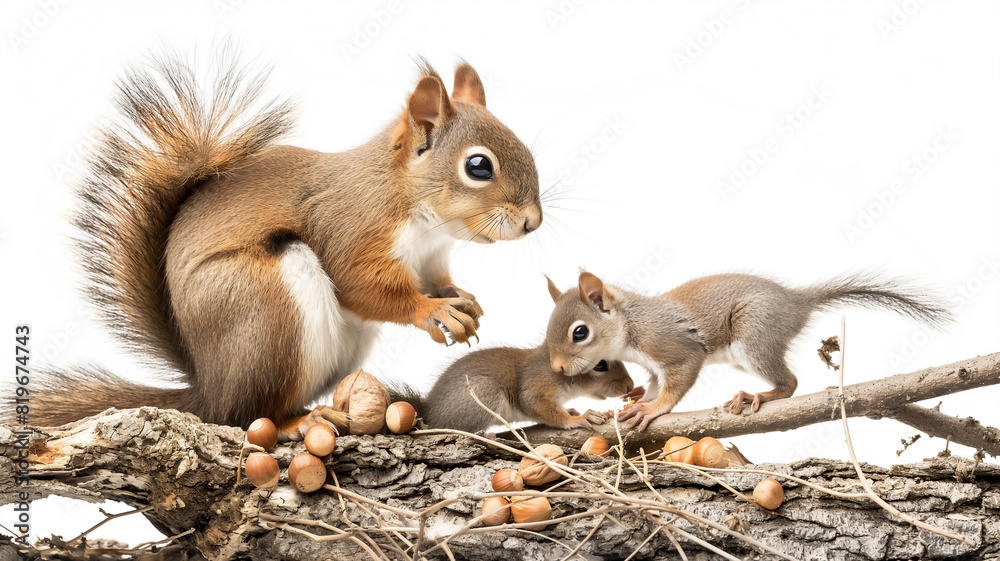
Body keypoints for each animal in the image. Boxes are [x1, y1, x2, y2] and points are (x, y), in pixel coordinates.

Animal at [26, 53, 542, 440]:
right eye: (478, 167)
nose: (533, 223)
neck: (422, 217)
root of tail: (207, 388)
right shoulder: (351, 230)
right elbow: (365, 288)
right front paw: (432, 311)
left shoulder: (432, 260)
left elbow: (439, 282)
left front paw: (463, 301)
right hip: (265, 313)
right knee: (247, 415)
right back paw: (301, 421)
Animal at [392, 346, 639, 432]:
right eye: (600, 365)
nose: (630, 385)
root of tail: (428, 410)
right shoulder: (536, 384)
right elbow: (534, 404)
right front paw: (577, 419)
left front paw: (572, 411)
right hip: (484, 391)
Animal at [544, 272, 952, 431]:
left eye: (580, 332)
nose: (558, 368)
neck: (632, 324)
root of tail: (796, 304)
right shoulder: (655, 365)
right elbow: (657, 384)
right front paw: (637, 399)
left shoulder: (673, 348)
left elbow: (675, 386)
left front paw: (651, 409)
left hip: (753, 338)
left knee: (790, 383)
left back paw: (757, 395)